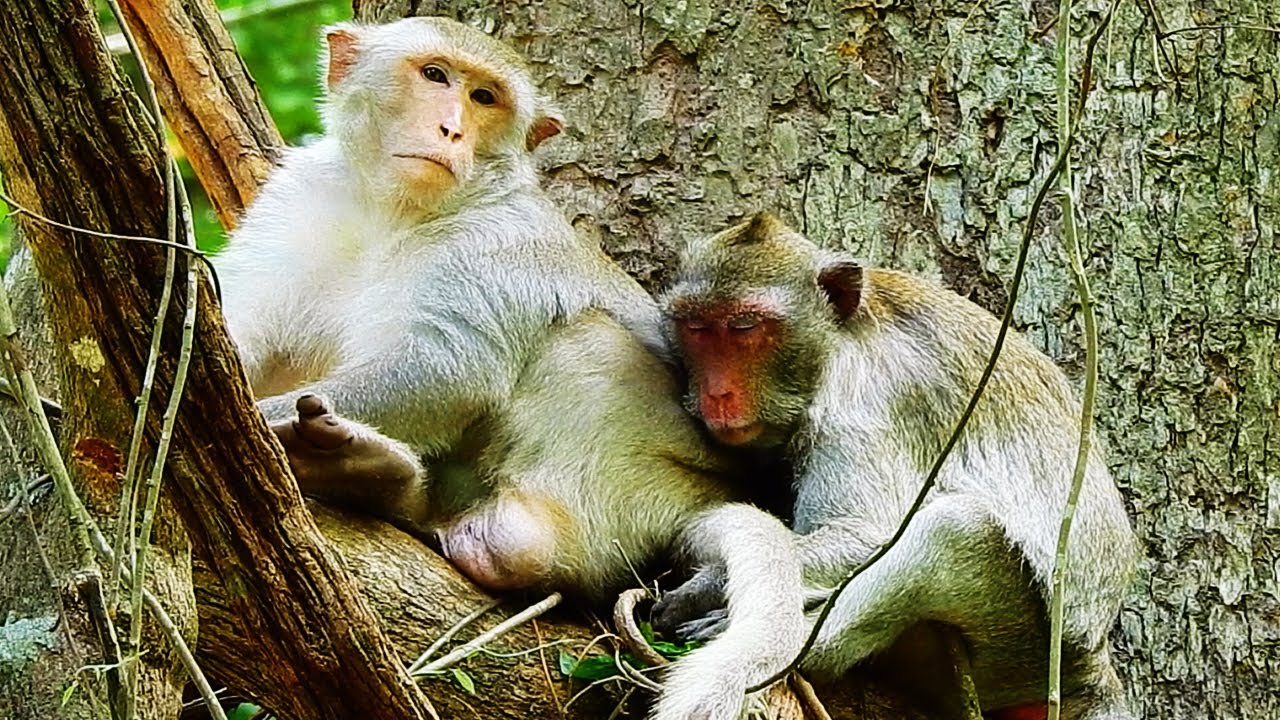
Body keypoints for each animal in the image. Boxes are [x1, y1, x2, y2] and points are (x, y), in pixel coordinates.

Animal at [214, 18, 805, 719]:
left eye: (485, 98)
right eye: (435, 75)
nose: (451, 129)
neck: (393, 209)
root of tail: (698, 501)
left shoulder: (498, 240)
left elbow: (447, 369)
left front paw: (258, 419)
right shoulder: (300, 198)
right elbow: (237, 324)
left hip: (635, 489)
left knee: (582, 343)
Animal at [654, 213, 1140, 720]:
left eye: (745, 326)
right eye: (696, 327)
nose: (717, 394)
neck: (839, 338)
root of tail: (1095, 660)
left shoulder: (859, 403)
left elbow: (866, 533)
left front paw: (703, 585)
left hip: (1026, 644)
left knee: (954, 529)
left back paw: (804, 647)